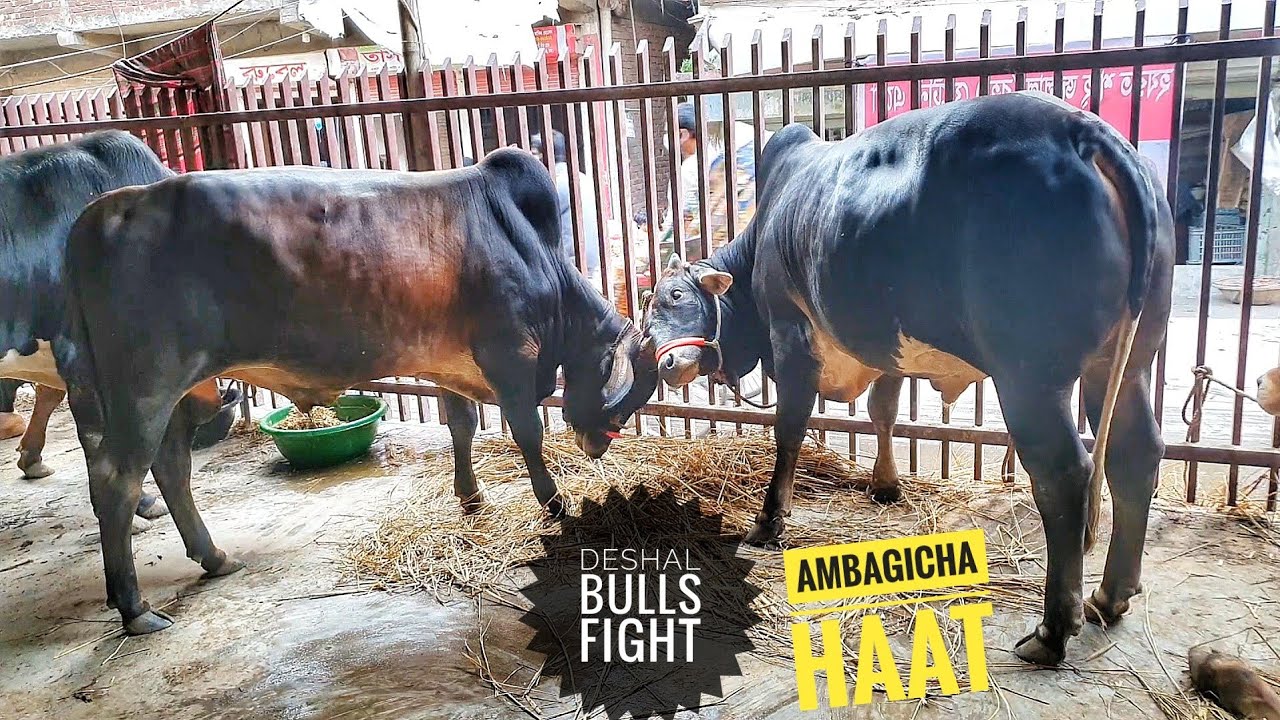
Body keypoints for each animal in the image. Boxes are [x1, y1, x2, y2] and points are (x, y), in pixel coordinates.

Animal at [55, 147, 658, 634]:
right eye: (622, 402)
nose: (597, 443)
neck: (532, 252)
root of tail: (101, 213)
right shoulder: (509, 354)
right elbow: (528, 433)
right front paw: (555, 503)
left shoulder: (449, 361)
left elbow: (461, 426)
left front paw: (471, 496)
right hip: (145, 389)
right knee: (116, 480)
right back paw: (134, 608)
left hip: (179, 393)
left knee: (171, 468)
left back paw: (213, 557)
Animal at [641, 91, 1174, 666]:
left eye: (674, 296)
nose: (665, 364)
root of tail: (1085, 130)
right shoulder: (884, 348)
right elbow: (884, 412)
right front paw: (885, 484)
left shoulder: (790, 332)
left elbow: (789, 430)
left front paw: (768, 521)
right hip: (1124, 365)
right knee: (1135, 454)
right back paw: (1110, 594)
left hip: (1030, 379)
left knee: (1065, 475)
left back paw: (1053, 629)